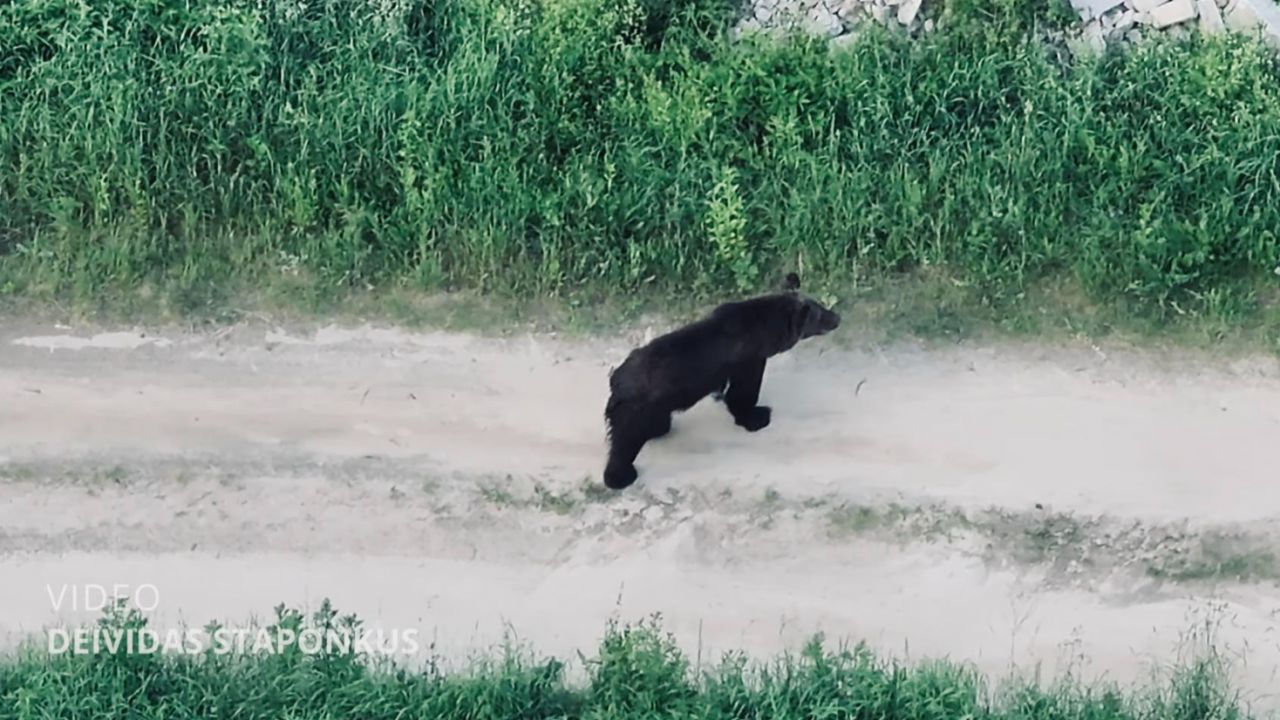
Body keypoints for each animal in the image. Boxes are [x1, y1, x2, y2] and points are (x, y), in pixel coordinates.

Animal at [601, 272, 841, 490]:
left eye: (821, 306)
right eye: (821, 315)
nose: (837, 318)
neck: (765, 328)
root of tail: (616, 382)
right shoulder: (748, 359)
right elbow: (742, 393)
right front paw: (758, 416)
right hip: (635, 410)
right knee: (624, 443)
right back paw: (620, 476)